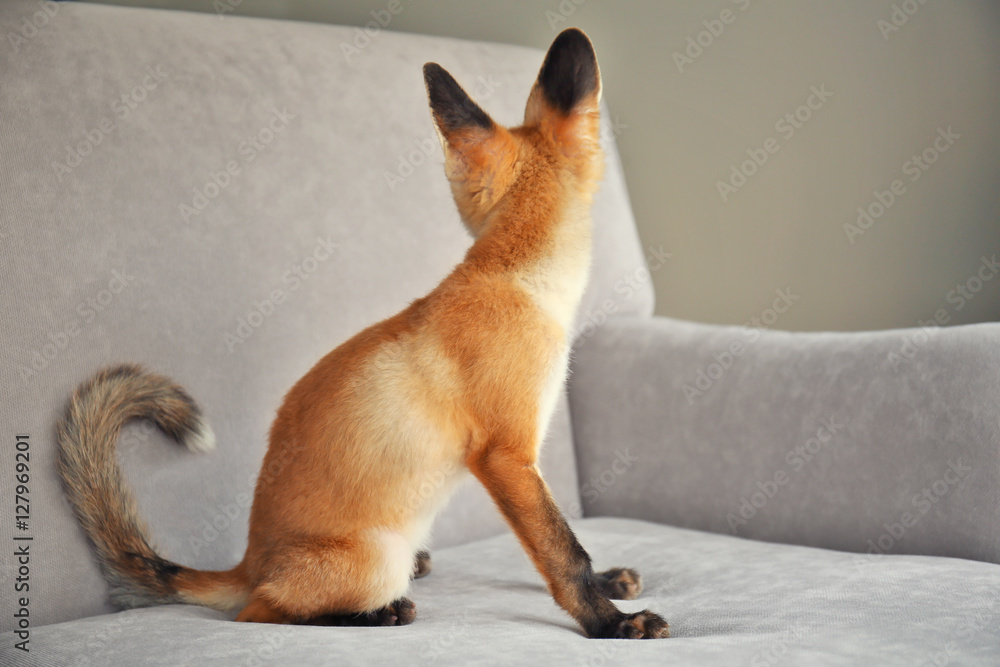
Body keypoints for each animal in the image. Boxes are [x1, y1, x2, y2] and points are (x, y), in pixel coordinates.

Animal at [56, 28, 669, 640]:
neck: (515, 281)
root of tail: (249, 562)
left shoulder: (519, 463)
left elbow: (556, 543)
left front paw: (609, 585)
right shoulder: (507, 456)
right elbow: (562, 553)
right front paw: (608, 621)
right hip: (374, 560)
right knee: (259, 614)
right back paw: (379, 613)